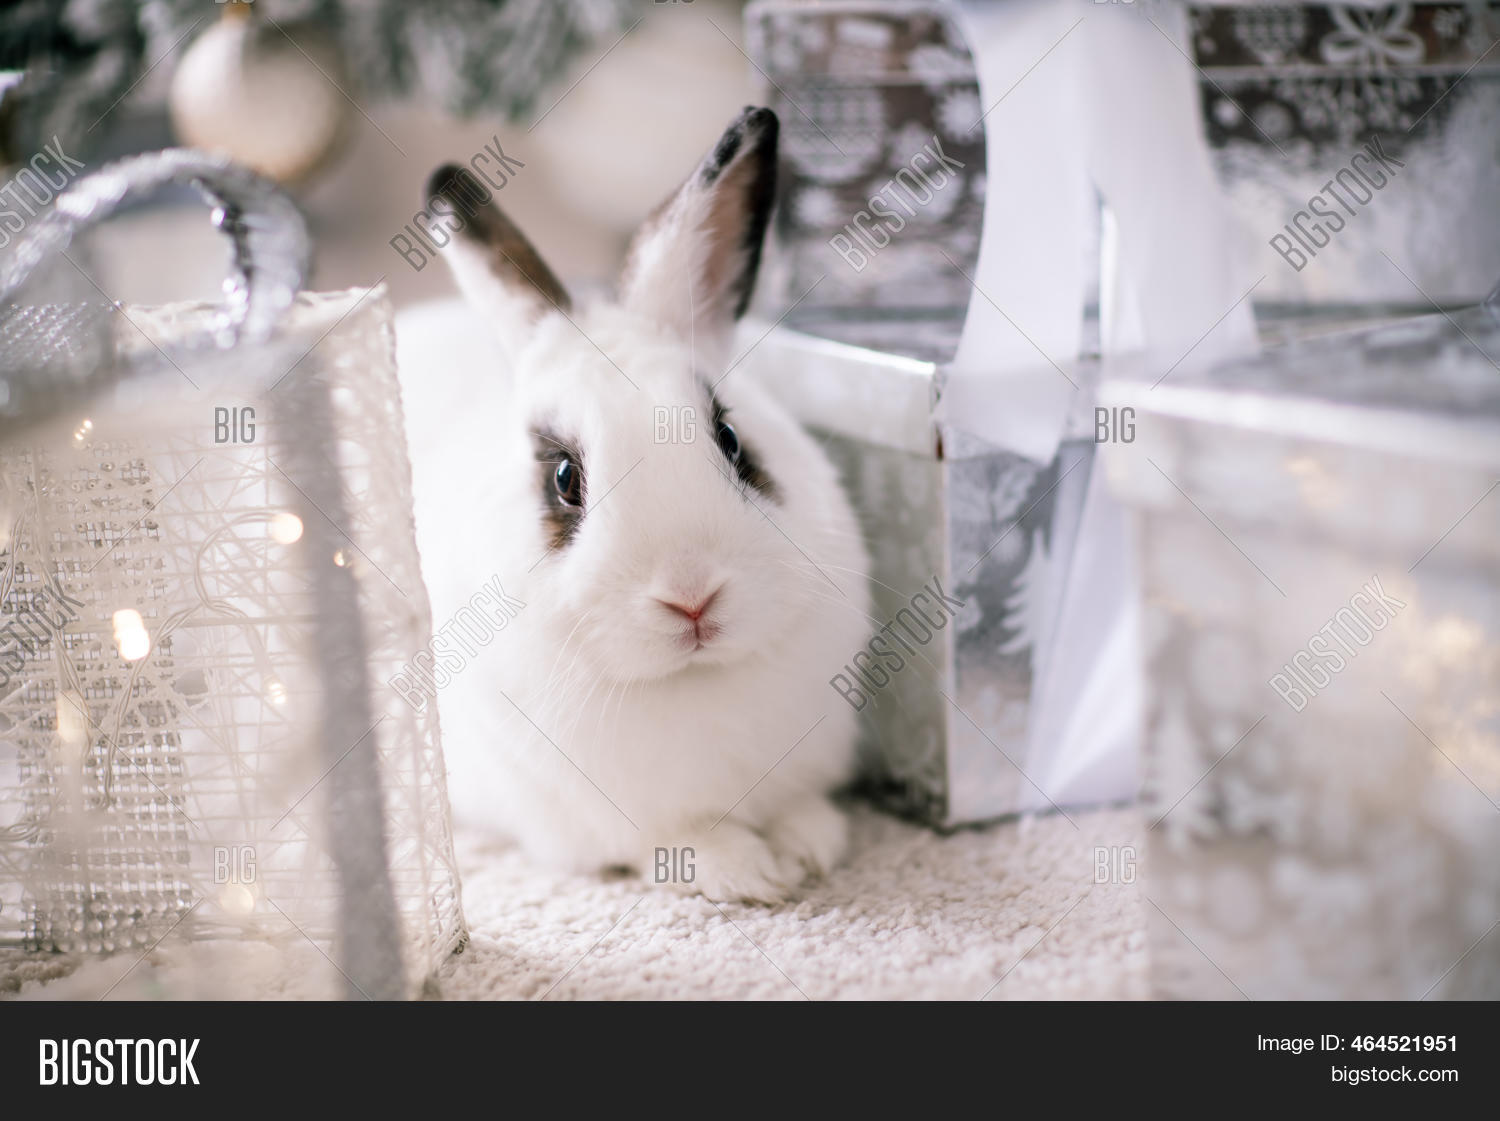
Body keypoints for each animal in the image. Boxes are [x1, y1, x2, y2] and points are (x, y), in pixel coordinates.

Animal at [397, 107, 871, 904]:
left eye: (730, 438)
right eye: (566, 478)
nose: (692, 596)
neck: (691, 683)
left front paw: (812, 844)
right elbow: (678, 843)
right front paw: (750, 873)